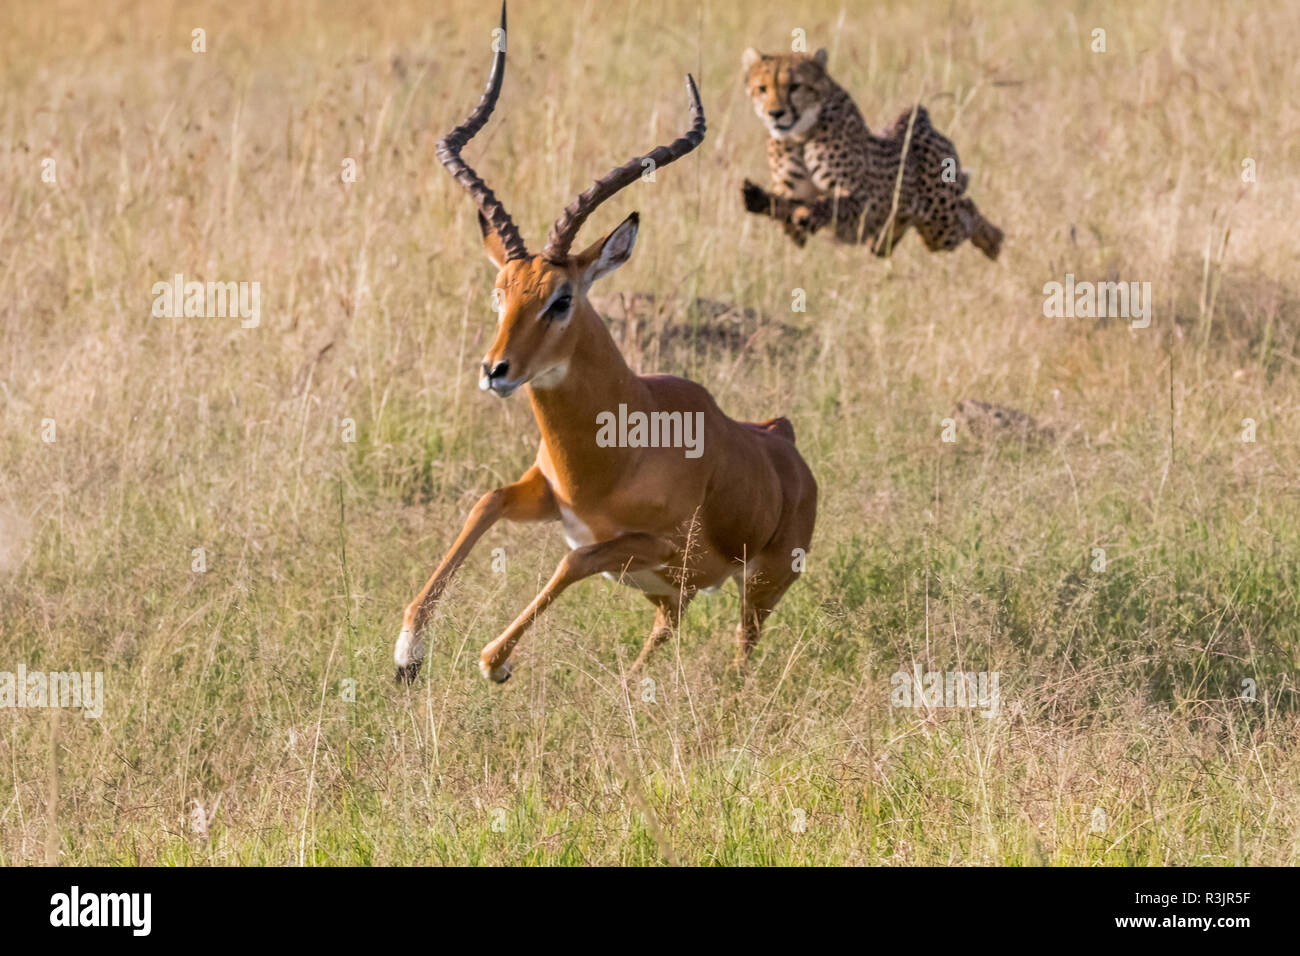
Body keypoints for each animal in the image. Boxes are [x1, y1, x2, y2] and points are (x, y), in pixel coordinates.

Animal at [395, 3, 818, 685]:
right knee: (668, 625)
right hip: (671, 591)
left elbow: (572, 561)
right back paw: (632, 685)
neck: (622, 446)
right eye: (500, 289)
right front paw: (408, 653)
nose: (495, 370)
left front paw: (494, 662)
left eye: (561, 298)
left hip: (757, 585)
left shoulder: (653, 544)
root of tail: (783, 440)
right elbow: (485, 502)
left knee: (742, 647)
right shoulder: (547, 496)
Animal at [739, 47, 1003, 259]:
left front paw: (809, 212)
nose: (775, 113)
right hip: (892, 234)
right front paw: (757, 197)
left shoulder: (865, 198)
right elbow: (785, 208)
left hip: (940, 225)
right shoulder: (793, 206)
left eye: (795, 86)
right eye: (762, 89)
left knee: (967, 211)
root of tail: (918, 118)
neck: (801, 134)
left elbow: (831, 202)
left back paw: (994, 241)